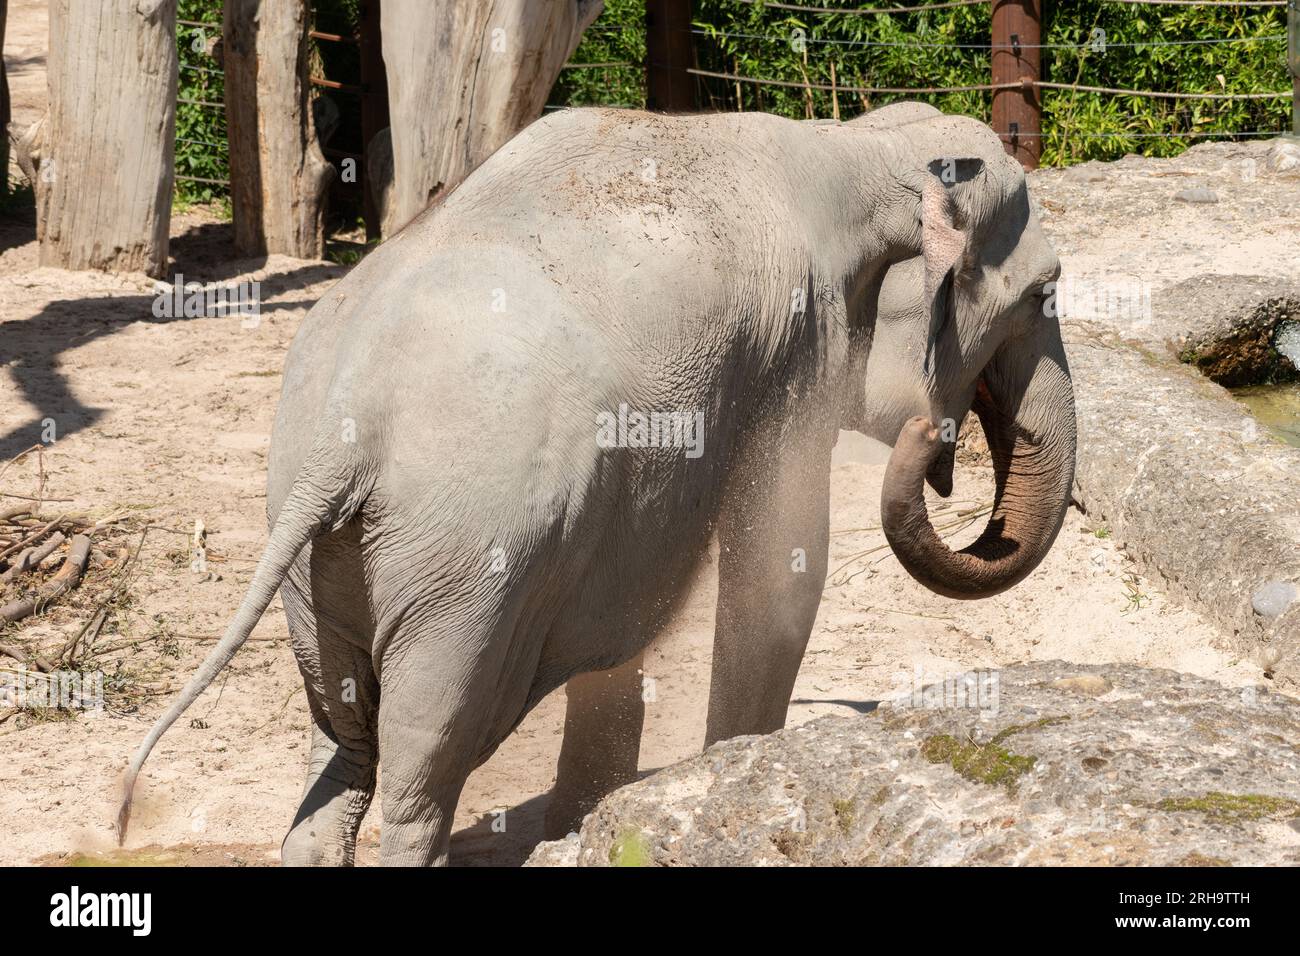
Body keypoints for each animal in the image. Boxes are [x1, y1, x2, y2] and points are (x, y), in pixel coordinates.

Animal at [118, 105, 1075, 866]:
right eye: (1044, 292)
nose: (936, 439)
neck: (856, 144)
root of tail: (347, 430)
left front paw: (592, 824)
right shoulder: (794, 357)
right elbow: (781, 571)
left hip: (315, 558)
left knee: (345, 747)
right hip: (464, 573)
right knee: (423, 766)